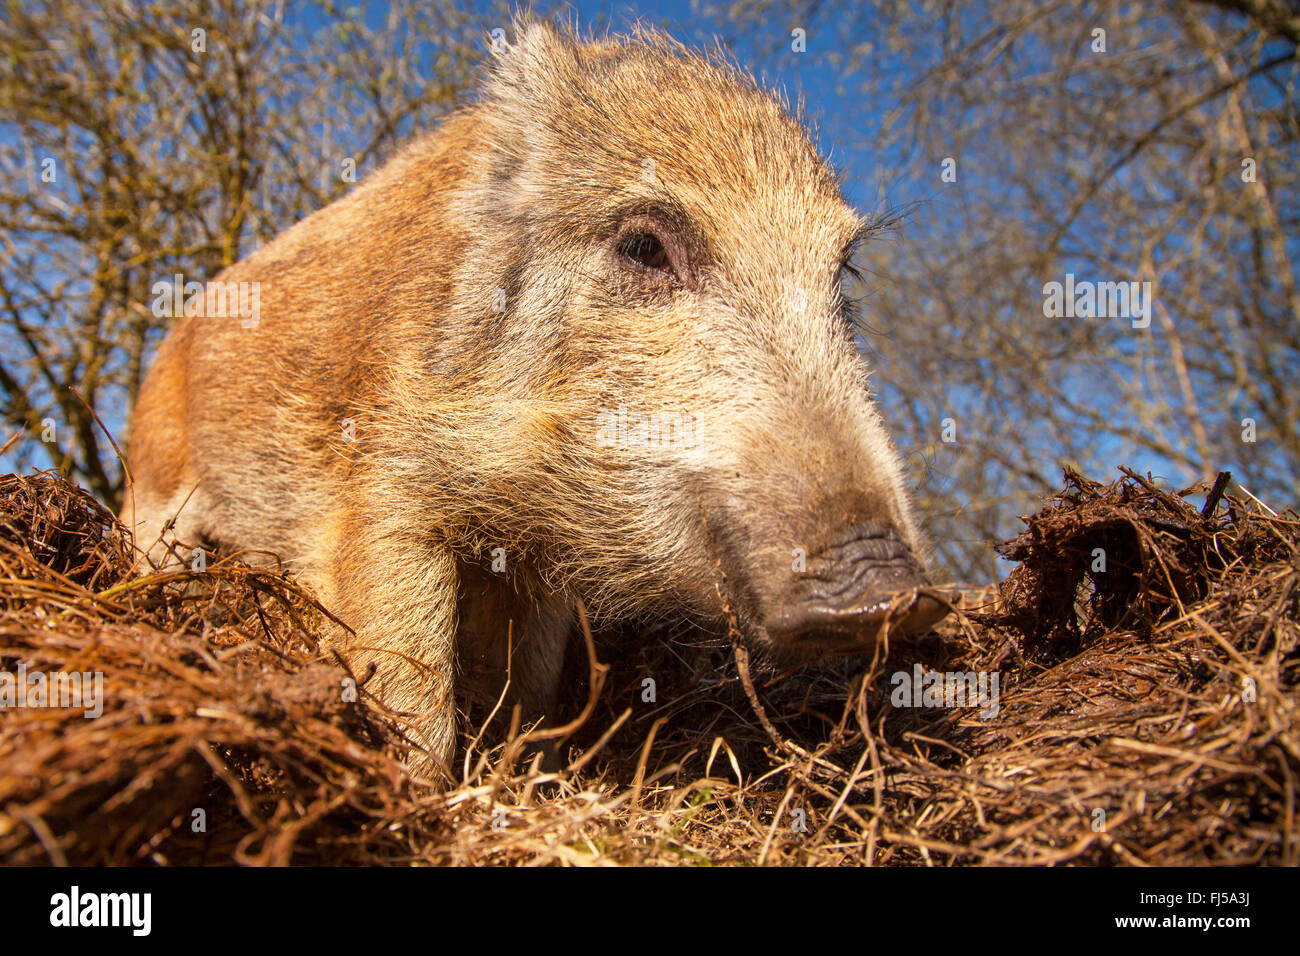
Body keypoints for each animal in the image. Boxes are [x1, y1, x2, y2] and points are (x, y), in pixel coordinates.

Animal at [121, 21, 946, 775]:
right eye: (643, 245)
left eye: (843, 270)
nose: (890, 590)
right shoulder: (379, 494)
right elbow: (410, 678)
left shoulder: (541, 572)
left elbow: (529, 685)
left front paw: (525, 773)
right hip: (152, 492)